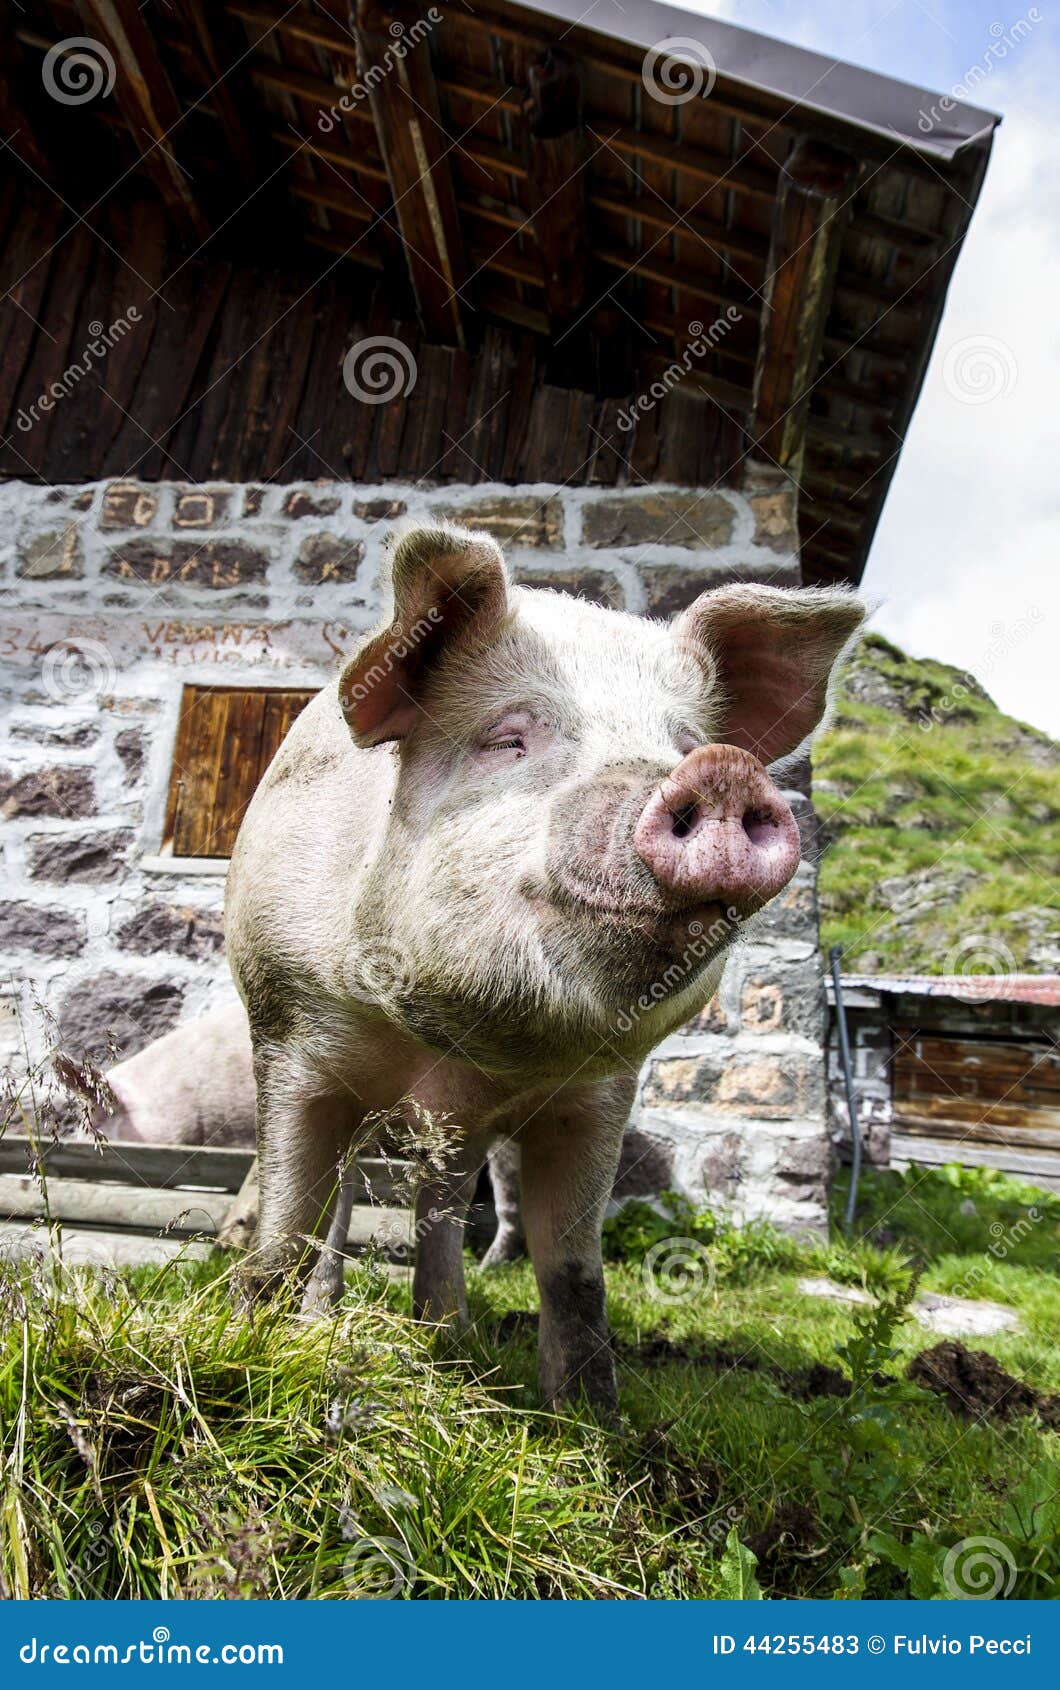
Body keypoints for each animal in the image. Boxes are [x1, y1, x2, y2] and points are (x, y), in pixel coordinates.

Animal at [225, 523, 863, 1414]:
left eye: (687, 744)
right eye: (506, 739)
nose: (722, 773)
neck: (468, 1049)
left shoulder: (598, 1096)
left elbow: (574, 1270)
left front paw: (594, 1425)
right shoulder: (291, 1034)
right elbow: (288, 1231)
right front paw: (256, 1362)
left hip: (460, 1142)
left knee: (442, 1202)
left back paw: (449, 1342)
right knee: (347, 1206)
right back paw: (330, 1314)